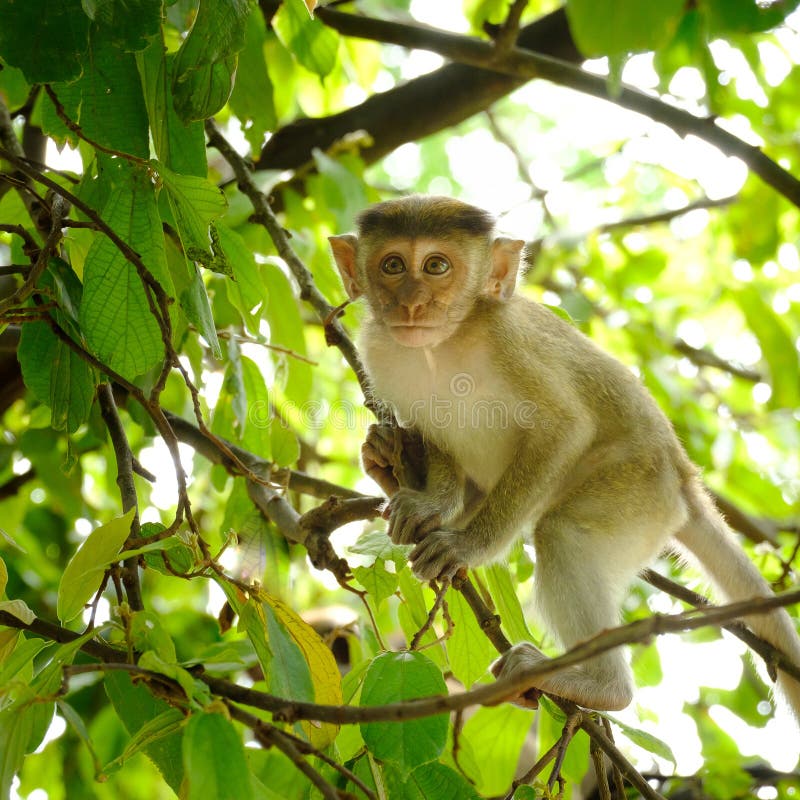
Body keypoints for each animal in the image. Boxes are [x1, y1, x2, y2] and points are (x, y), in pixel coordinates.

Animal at [329, 194, 800, 717]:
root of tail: (683, 478)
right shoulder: (381, 352)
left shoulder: (508, 341)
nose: (411, 302)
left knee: (562, 530)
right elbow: (438, 438)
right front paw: (431, 502)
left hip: (640, 491)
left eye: (436, 266)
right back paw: (391, 461)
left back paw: (599, 686)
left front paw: (468, 545)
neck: (443, 346)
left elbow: (564, 428)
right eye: (392, 265)